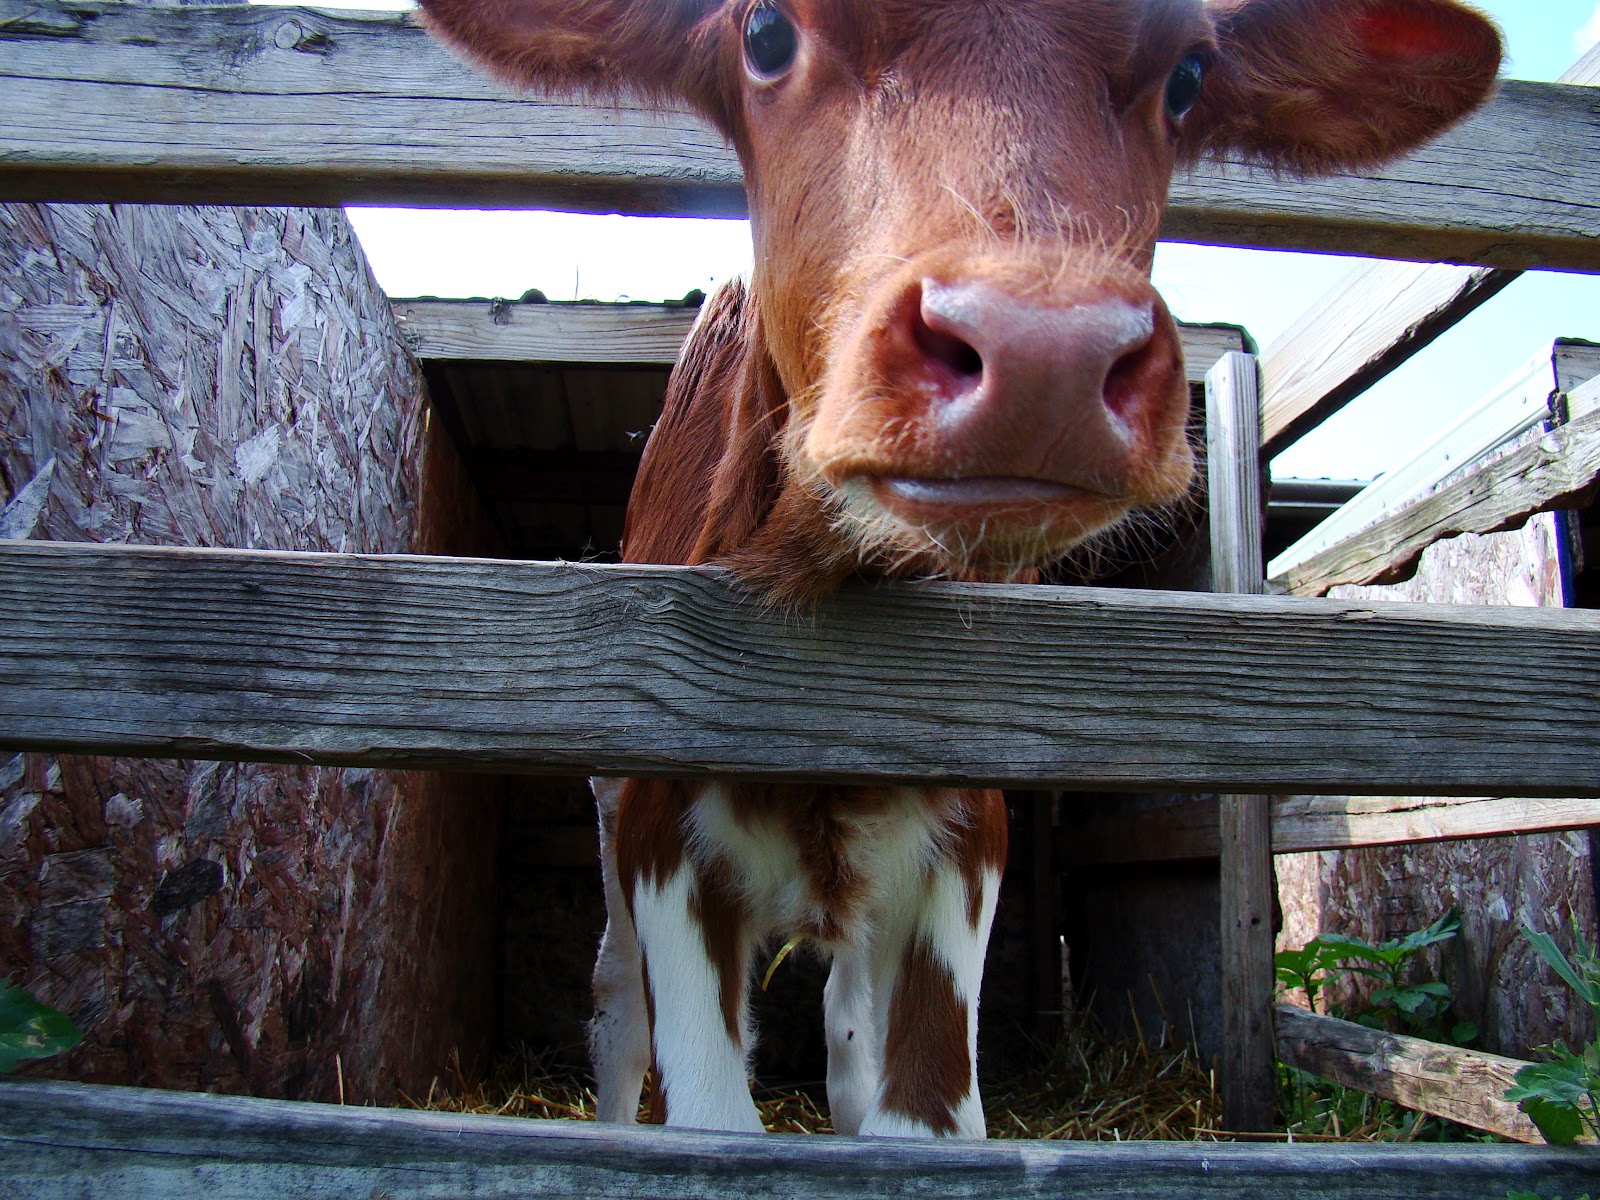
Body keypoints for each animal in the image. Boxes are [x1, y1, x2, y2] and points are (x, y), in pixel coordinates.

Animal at [418, 0, 1501, 1139]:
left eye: (1189, 77)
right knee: (616, 1001)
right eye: (764, 34)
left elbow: (922, 1120)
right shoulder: (658, 822)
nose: (1043, 355)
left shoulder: (969, 829)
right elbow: (708, 1114)